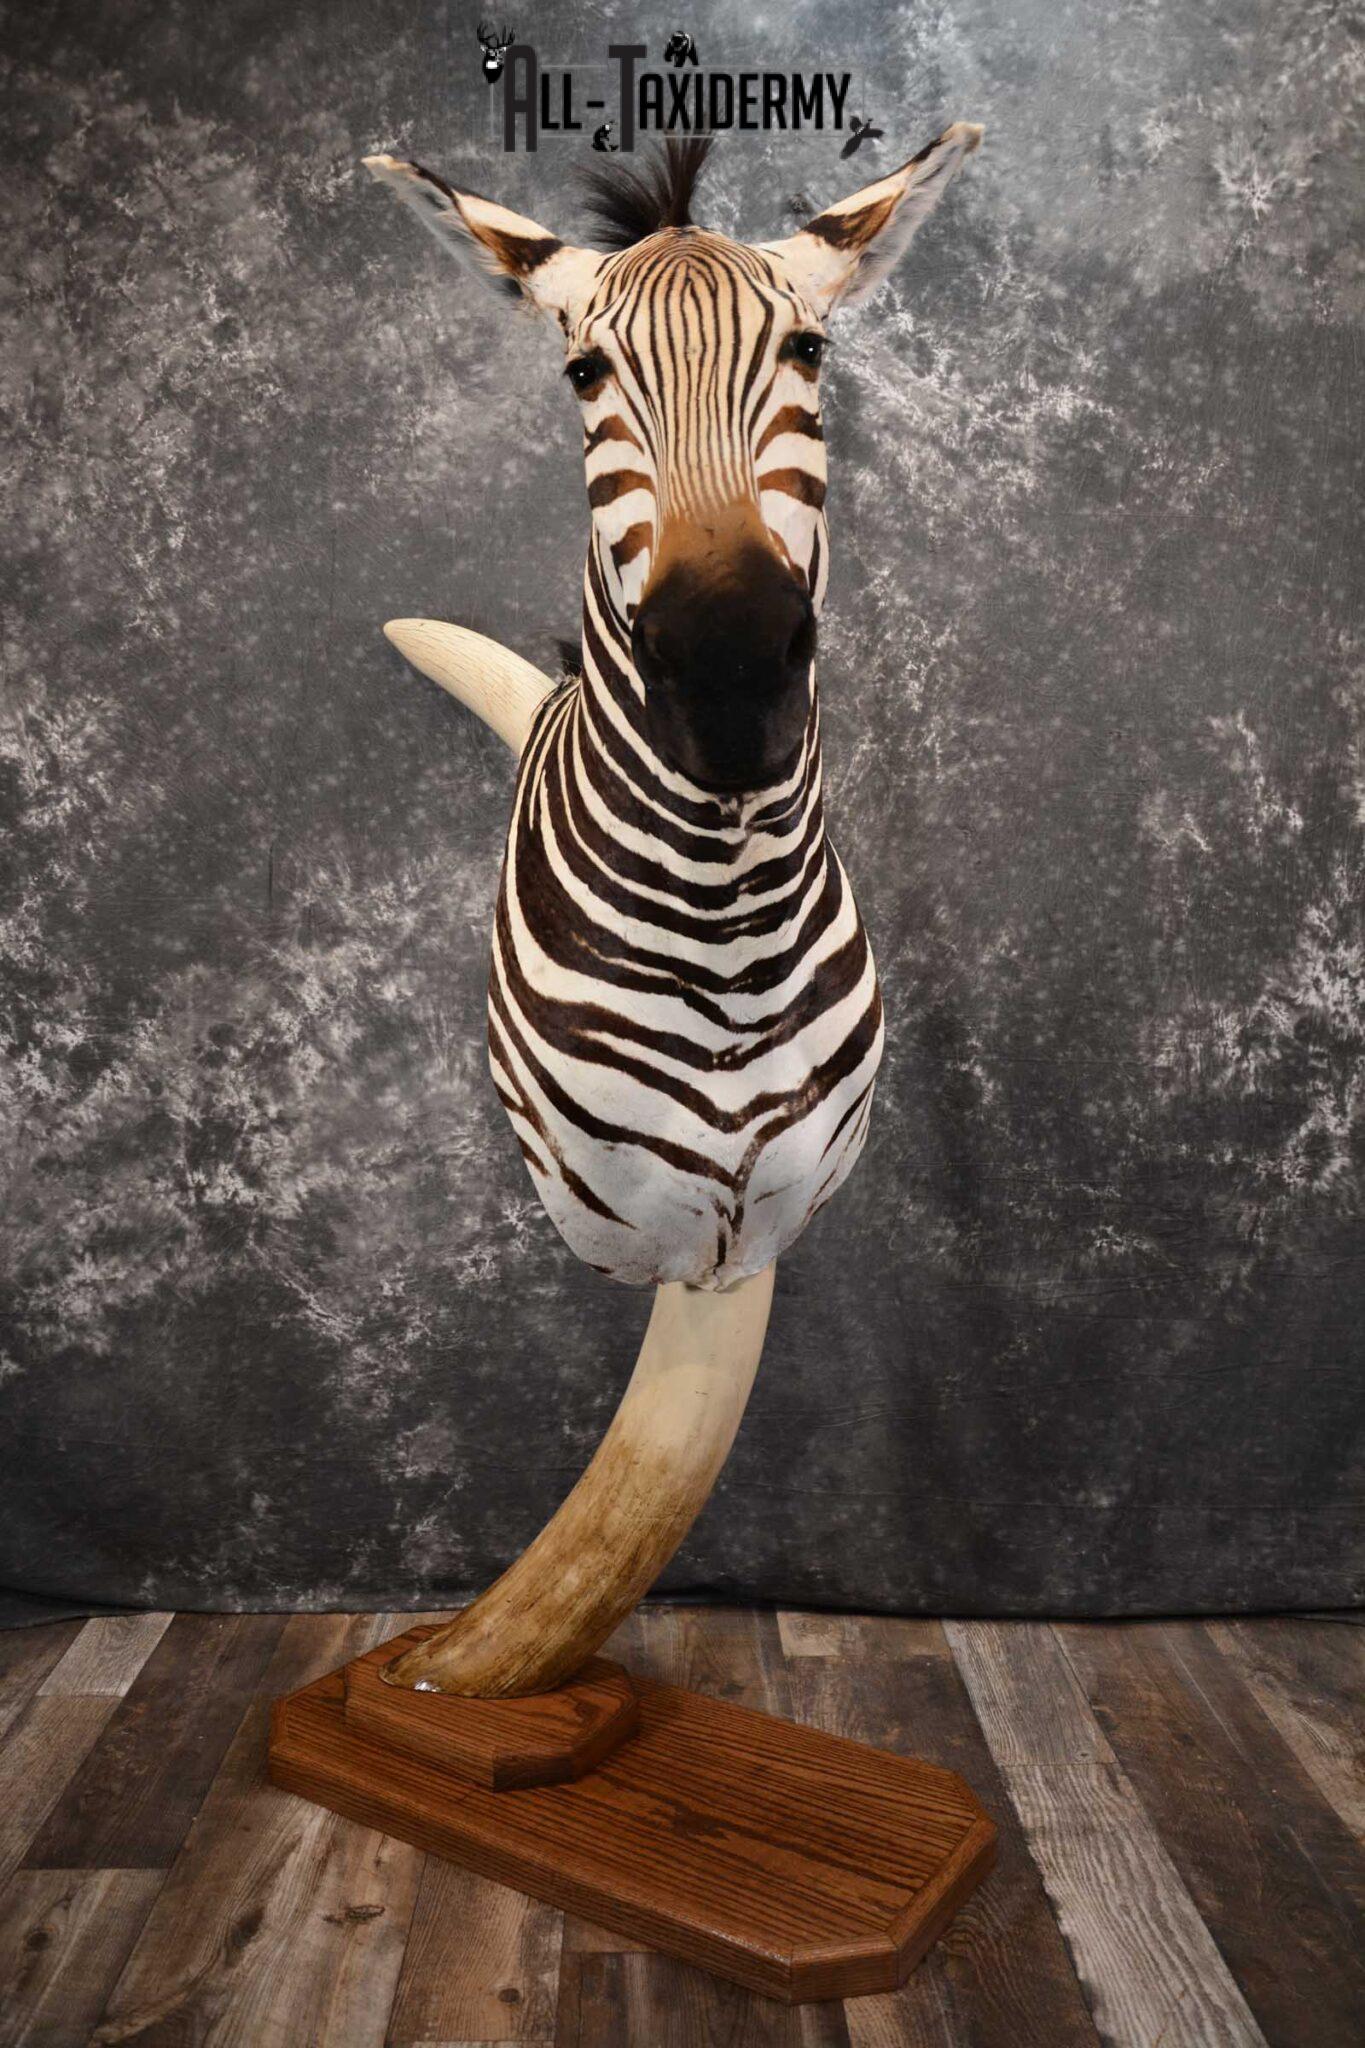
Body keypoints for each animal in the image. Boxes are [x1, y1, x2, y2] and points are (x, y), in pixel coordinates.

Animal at [364, 126, 983, 1293]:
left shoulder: (785, 1201)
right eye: (584, 372)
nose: (726, 667)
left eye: (809, 351)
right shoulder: (628, 1223)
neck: (727, 940)